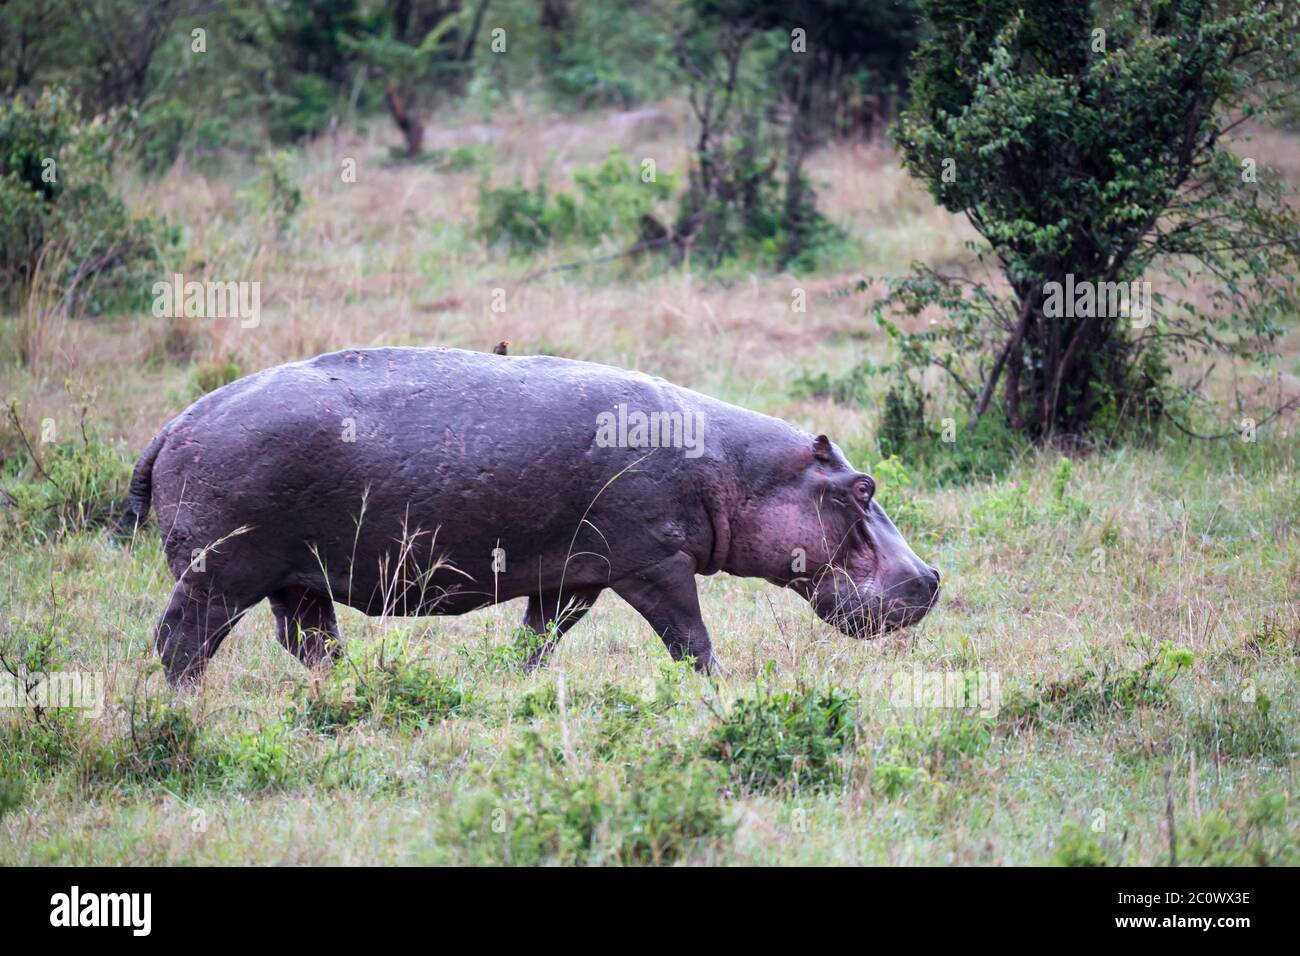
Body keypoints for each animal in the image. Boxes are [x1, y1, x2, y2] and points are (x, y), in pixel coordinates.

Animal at [127, 347, 939, 684]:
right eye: (861, 487)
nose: (932, 578)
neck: (741, 469)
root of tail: (174, 423)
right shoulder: (653, 564)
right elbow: (689, 636)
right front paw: (724, 688)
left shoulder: (575, 575)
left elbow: (541, 636)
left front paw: (514, 680)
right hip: (219, 575)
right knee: (181, 643)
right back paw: (183, 705)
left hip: (295, 580)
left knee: (310, 643)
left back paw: (345, 688)